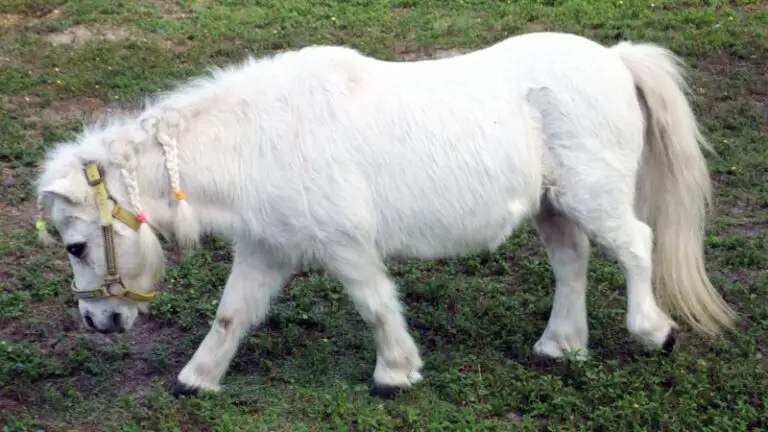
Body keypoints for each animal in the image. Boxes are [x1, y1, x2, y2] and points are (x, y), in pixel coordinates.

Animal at [34, 31, 737, 398]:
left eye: (75, 246)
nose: (98, 322)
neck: (264, 136)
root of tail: (616, 56)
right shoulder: (267, 248)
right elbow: (233, 314)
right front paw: (196, 380)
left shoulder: (344, 244)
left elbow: (374, 304)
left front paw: (396, 373)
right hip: (552, 205)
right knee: (573, 263)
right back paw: (559, 346)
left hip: (593, 196)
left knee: (637, 246)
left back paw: (653, 333)